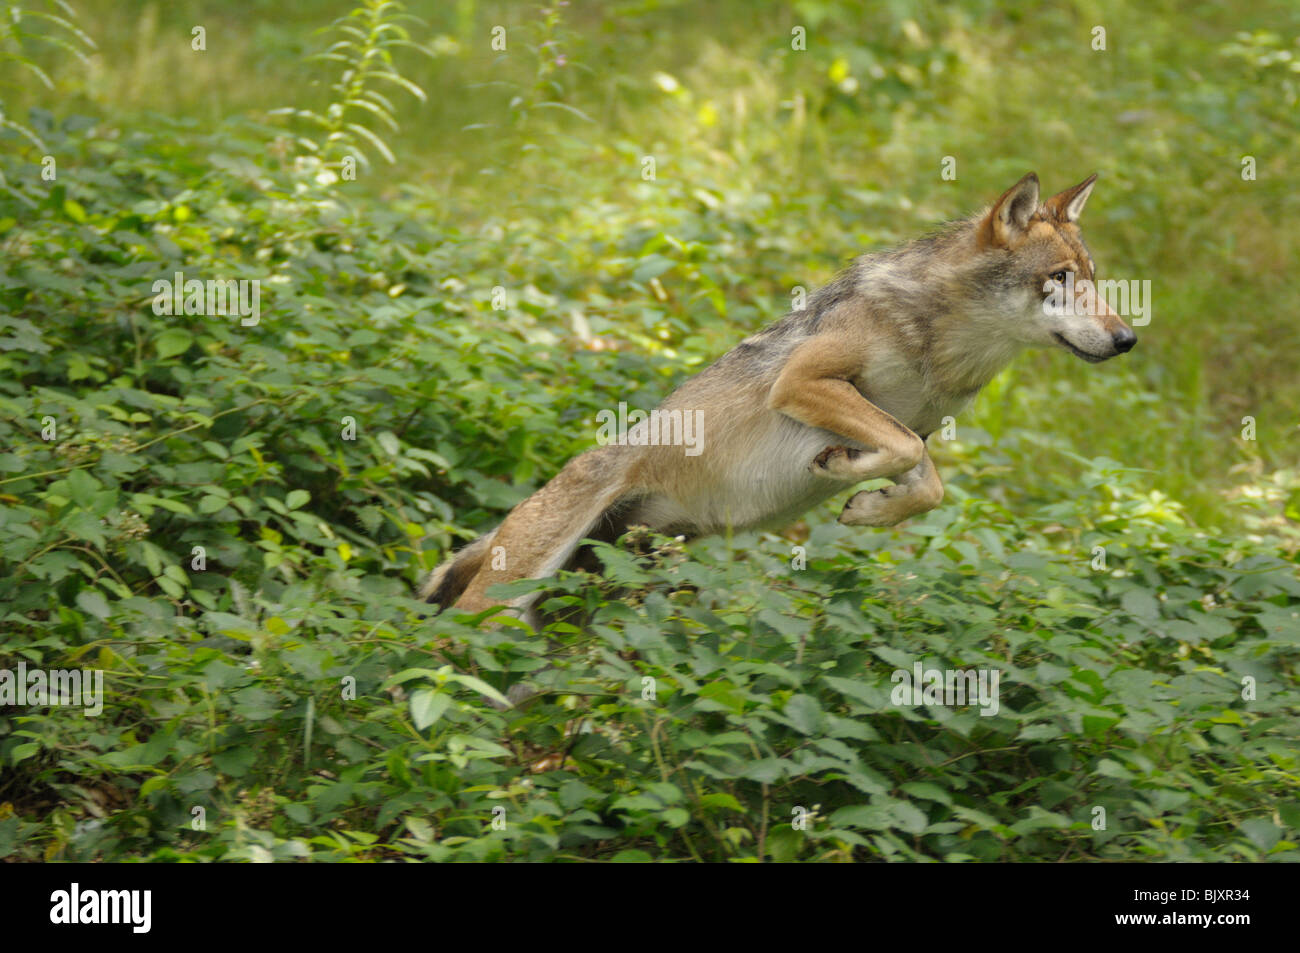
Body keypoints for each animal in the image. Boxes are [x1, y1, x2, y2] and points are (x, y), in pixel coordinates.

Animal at [422, 172, 1135, 620]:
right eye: (1059, 279)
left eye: (1094, 279)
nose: (1128, 338)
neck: (944, 350)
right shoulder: (802, 383)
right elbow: (901, 450)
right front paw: (842, 471)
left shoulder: (921, 428)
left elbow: (928, 485)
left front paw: (867, 504)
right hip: (501, 607)